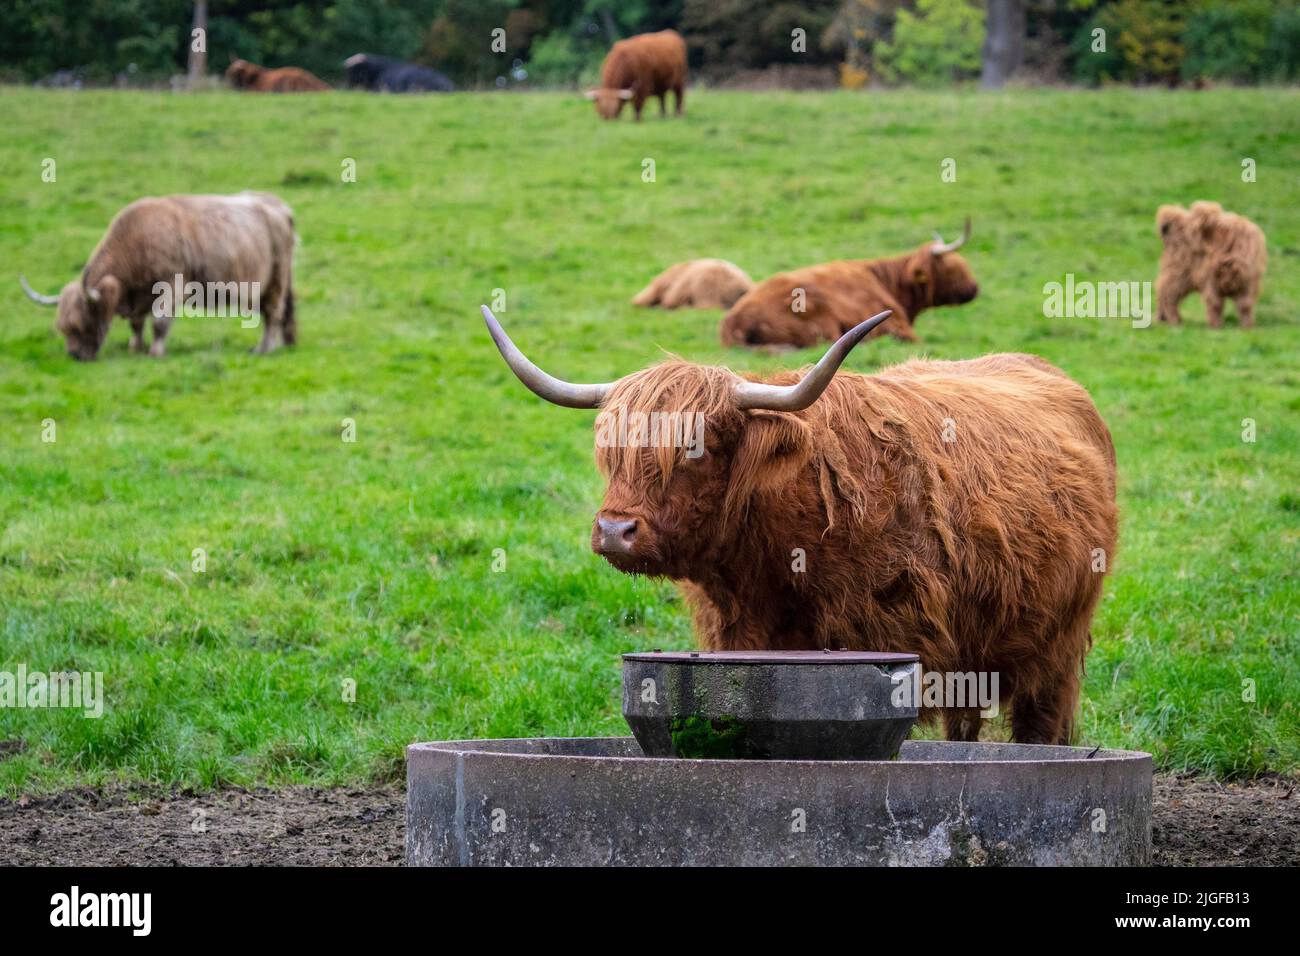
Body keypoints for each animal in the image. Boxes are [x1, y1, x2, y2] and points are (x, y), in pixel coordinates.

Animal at [19, 192, 297, 360]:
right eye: (62, 327)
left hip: (275, 281)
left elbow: (159, 322)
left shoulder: (173, 286)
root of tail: (277, 204)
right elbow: (136, 324)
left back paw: (264, 348)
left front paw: (155, 351)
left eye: (81, 322)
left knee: (273, 314)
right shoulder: (139, 295)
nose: (75, 355)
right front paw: (136, 348)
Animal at [482, 305, 1118, 745]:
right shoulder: (734, 638)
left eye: (695, 448)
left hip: (1056, 648)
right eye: (609, 454)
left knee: (1042, 724)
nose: (616, 530)